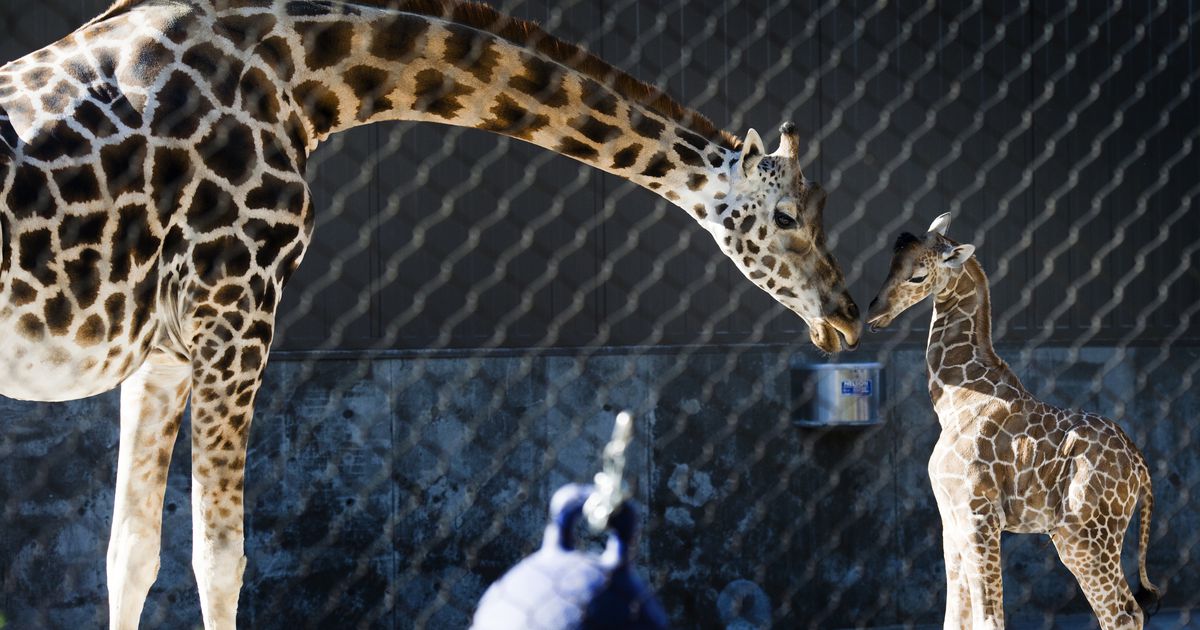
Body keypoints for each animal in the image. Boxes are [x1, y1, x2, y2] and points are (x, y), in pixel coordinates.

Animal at [0, 0, 861, 627]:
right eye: (787, 215)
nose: (846, 318)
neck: (302, 77)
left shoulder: (167, 354)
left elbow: (131, 556)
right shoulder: (236, 313)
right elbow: (221, 560)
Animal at [865, 213, 1160, 630]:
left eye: (918, 276)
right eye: (891, 265)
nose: (873, 315)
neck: (955, 401)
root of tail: (1140, 468)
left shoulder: (979, 513)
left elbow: (989, 617)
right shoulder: (950, 519)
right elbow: (955, 617)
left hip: (1082, 536)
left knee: (1122, 612)